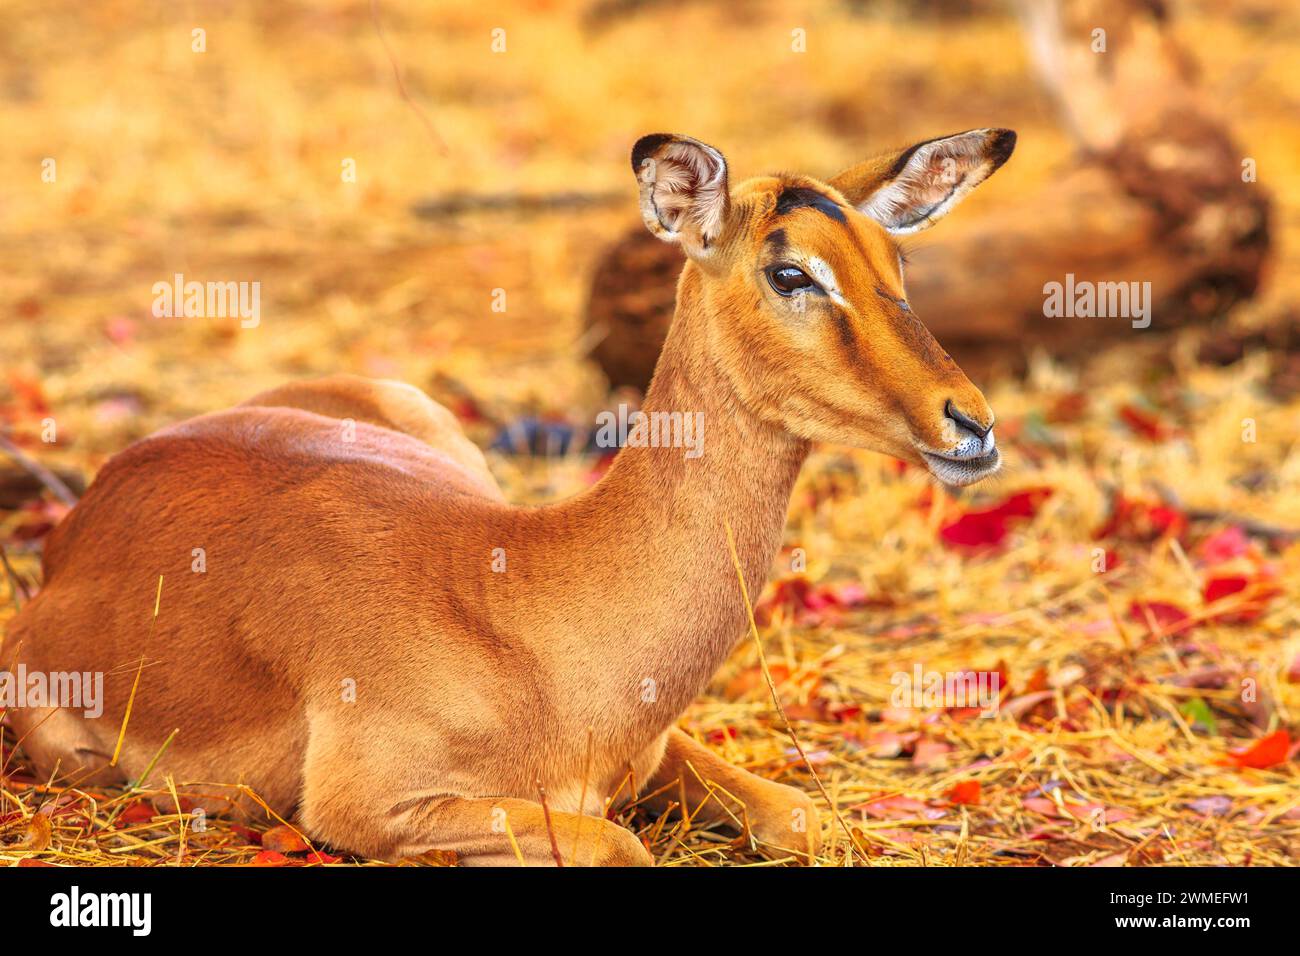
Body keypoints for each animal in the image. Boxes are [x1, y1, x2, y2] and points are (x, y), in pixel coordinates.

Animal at [4, 128, 1013, 865]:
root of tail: (86, 510)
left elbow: (807, 816)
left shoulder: (658, 746)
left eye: (896, 264)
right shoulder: (370, 808)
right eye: (791, 271)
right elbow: (620, 846)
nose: (972, 422)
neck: (530, 615)